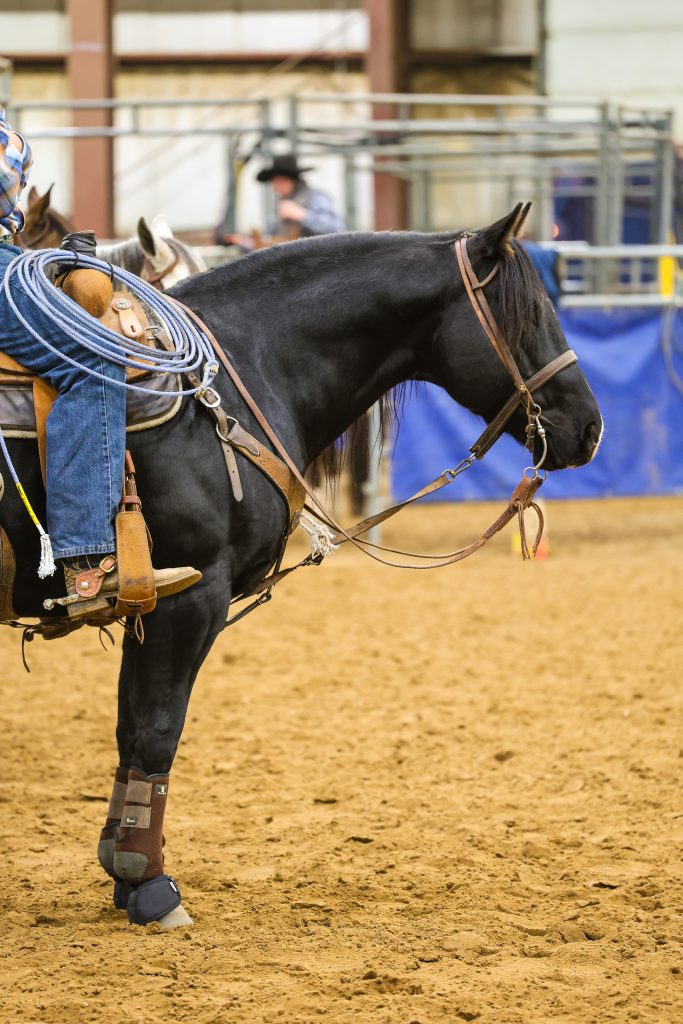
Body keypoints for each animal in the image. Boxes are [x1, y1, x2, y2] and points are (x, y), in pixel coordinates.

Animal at [0, 205, 602, 927]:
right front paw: (148, 883)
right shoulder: (190, 596)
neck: (233, 381)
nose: (589, 428)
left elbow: (129, 730)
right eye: (529, 314)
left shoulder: (152, 604)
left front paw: (123, 869)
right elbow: (156, 731)